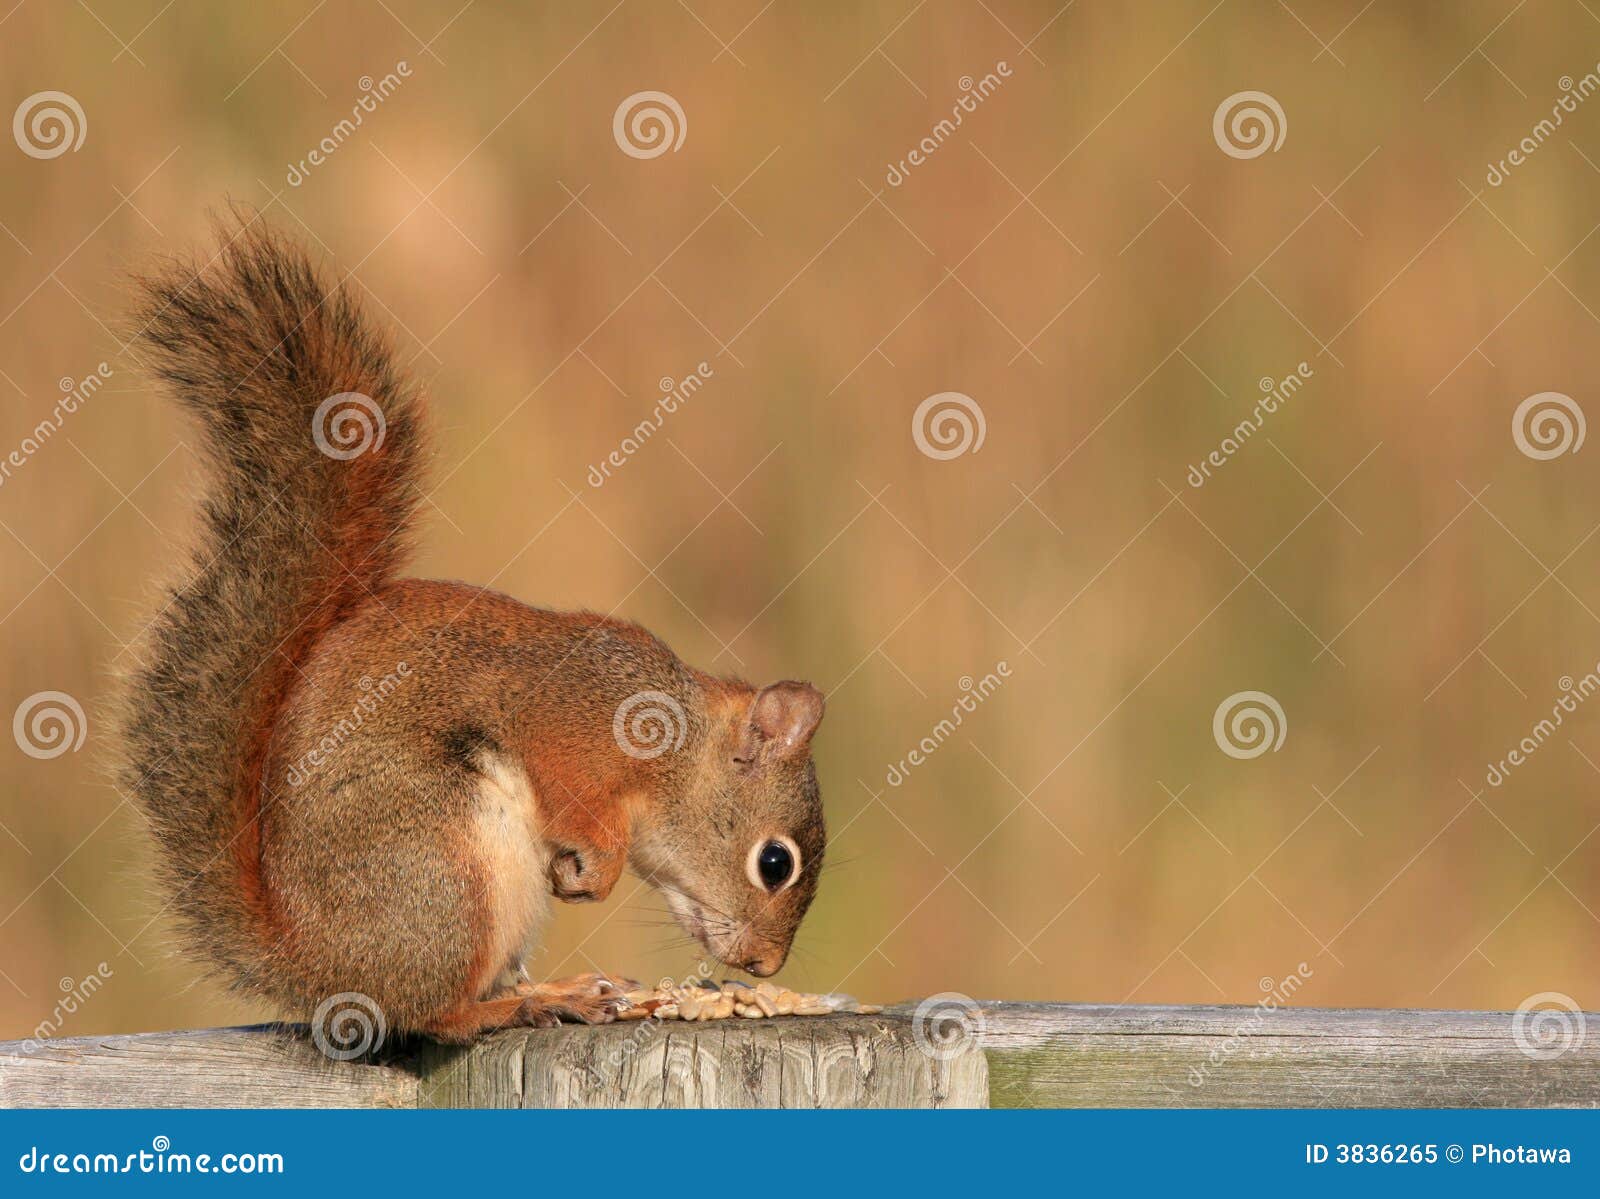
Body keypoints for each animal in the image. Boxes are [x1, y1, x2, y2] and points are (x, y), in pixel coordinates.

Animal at [118, 220, 827, 1042]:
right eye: (774, 863)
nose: (767, 966)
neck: (677, 751)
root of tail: (314, 966)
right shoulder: (576, 725)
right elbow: (580, 804)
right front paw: (593, 873)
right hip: (444, 866)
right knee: (438, 1013)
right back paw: (535, 1001)